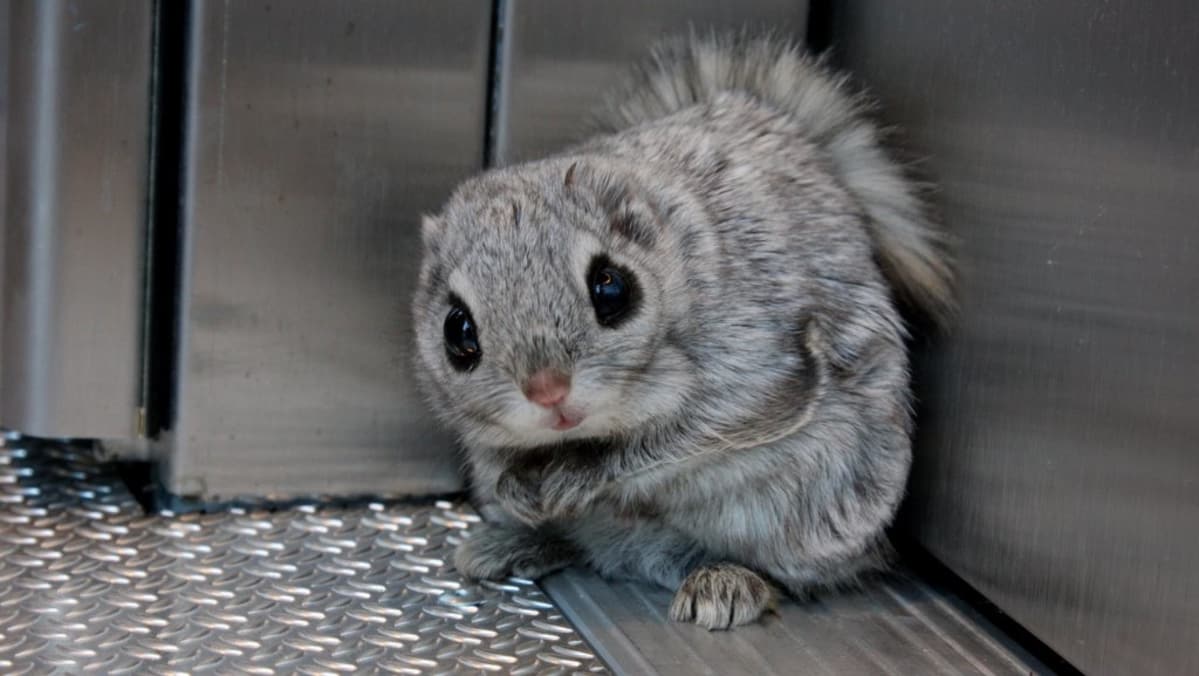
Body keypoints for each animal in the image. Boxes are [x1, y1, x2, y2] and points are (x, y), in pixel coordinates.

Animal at [411, 31, 954, 629]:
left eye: (612, 289)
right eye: (457, 331)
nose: (548, 391)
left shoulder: (760, 367)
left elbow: (677, 440)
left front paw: (579, 476)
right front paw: (515, 485)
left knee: (786, 576)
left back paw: (727, 582)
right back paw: (513, 542)